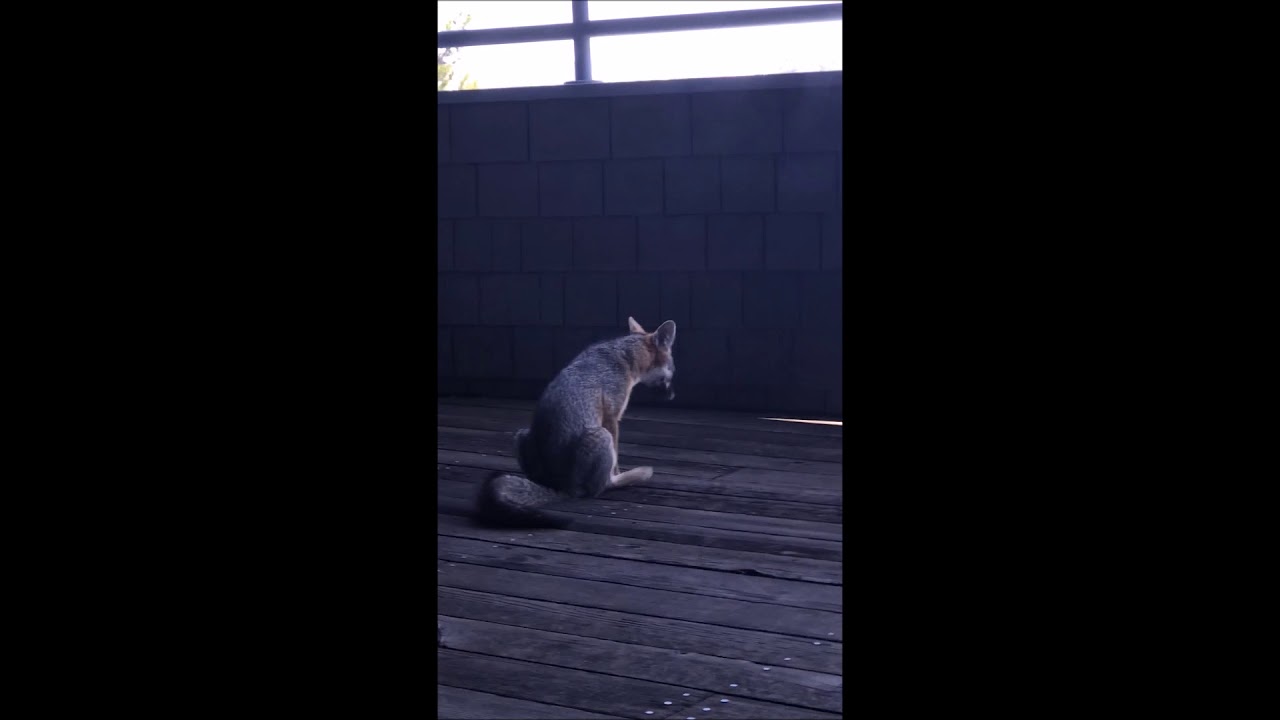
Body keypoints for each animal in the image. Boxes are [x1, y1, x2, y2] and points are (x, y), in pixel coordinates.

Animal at [475, 316, 677, 529]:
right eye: (672, 371)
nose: (672, 396)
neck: (623, 355)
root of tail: (560, 486)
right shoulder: (611, 418)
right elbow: (616, 458)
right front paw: (619, 472)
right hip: (602, 435)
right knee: (600, 487)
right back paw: (621, 480)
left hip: (520, 435)